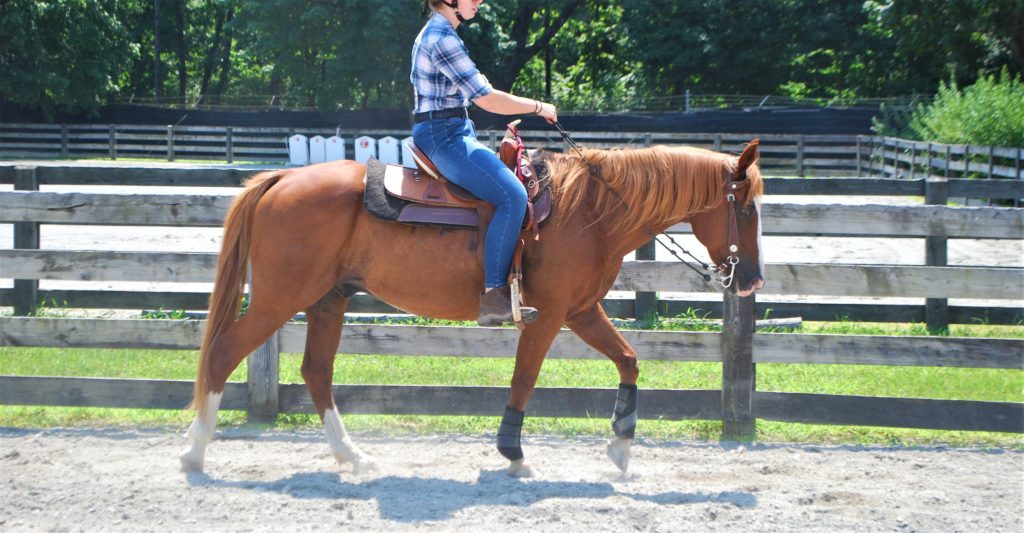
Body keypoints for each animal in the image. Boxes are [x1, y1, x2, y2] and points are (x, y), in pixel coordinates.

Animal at [180, 139, 765, 477]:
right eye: (746, 209)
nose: (752, 280)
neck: (590, 212)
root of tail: (280, 178)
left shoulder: (581, 311)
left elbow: (628, 359)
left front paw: (621, 445)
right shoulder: (549, 316)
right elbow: (524, 378)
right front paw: (513, 452)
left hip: (329, 300)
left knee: (316, 372)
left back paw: (352, 456)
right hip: (279, 299)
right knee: (223, 353)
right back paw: (195, 453)